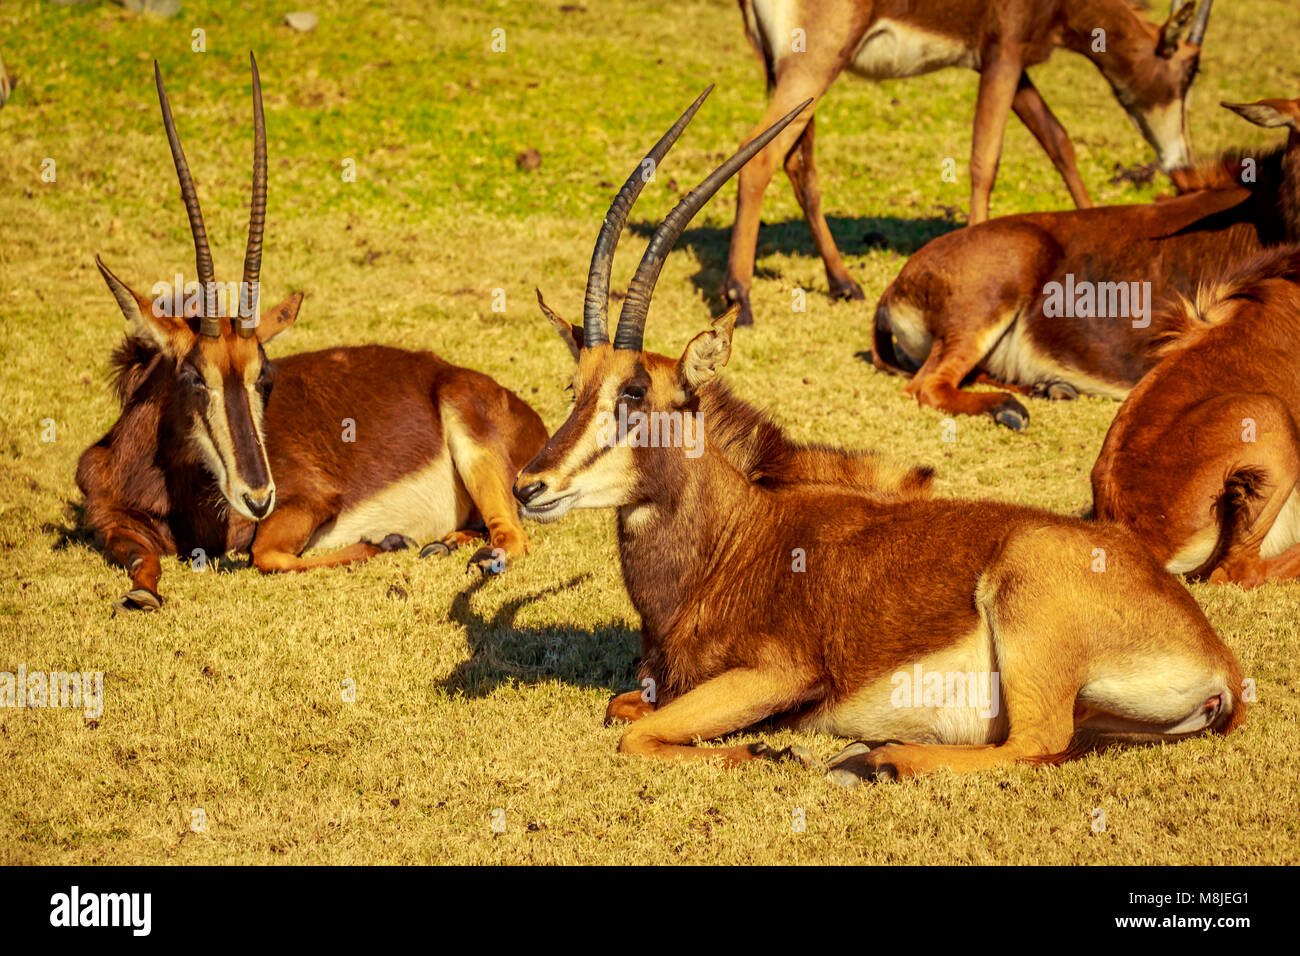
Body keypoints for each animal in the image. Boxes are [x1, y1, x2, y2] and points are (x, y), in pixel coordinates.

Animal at [77, 57, 547, 612]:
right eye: (194, 377)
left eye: (264, 377)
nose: (258, 496)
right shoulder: (108, 515)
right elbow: (137, 554)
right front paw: (141, 592)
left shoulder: (307, 502)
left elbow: (264, 555)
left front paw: (384, 542)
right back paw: (443, 543)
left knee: (512, 535)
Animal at [514, 91, 1246, 780]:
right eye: (574, 385)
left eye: (634, 392)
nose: (529, 486)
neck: (735, 540)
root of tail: (1218, 659)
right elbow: (623, 708)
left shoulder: (779, 674)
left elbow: (635, 734)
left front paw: (769, 751)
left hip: (1028, 612)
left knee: (1035, 743)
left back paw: (875, 760)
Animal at [724, 0, 1213, 326]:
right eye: (1190, 72)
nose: (1186, 169)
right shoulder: (1004, 52)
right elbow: (986, 158)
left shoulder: (1009, 62)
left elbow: (1058, 140)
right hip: (813, 64)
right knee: (758, 156)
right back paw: (739, 296)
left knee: (798, 164)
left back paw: (843, 281)